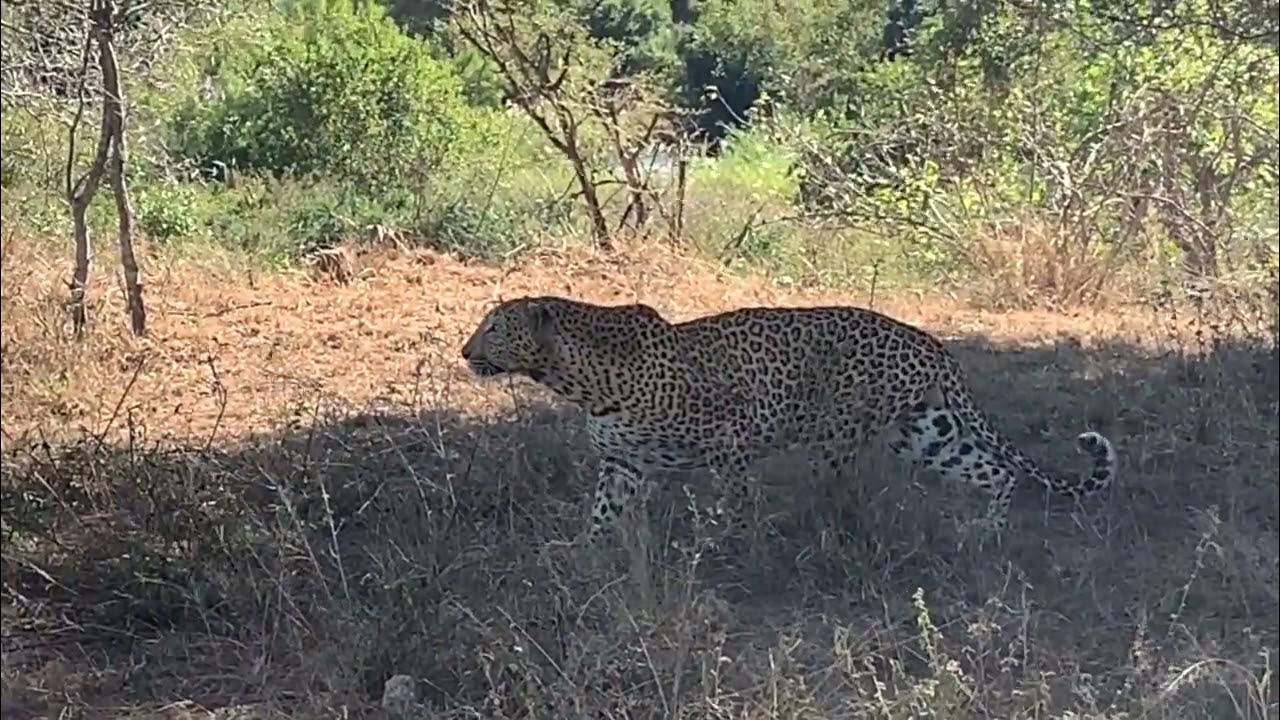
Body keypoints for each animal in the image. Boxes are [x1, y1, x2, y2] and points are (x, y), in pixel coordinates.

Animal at [459, 295, 1117, 545]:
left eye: (495, 327)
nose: (466, 352)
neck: (576, 381)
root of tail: (930, 341)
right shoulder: (622, 462)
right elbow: (600, 517)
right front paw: (585, 556)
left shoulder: (731, 443)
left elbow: (730, 505)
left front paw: (723, 547)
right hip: (922, 433)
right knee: (995, 472)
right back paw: (985, 531)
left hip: (842, 435)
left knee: (837, 493)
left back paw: (821, 535)